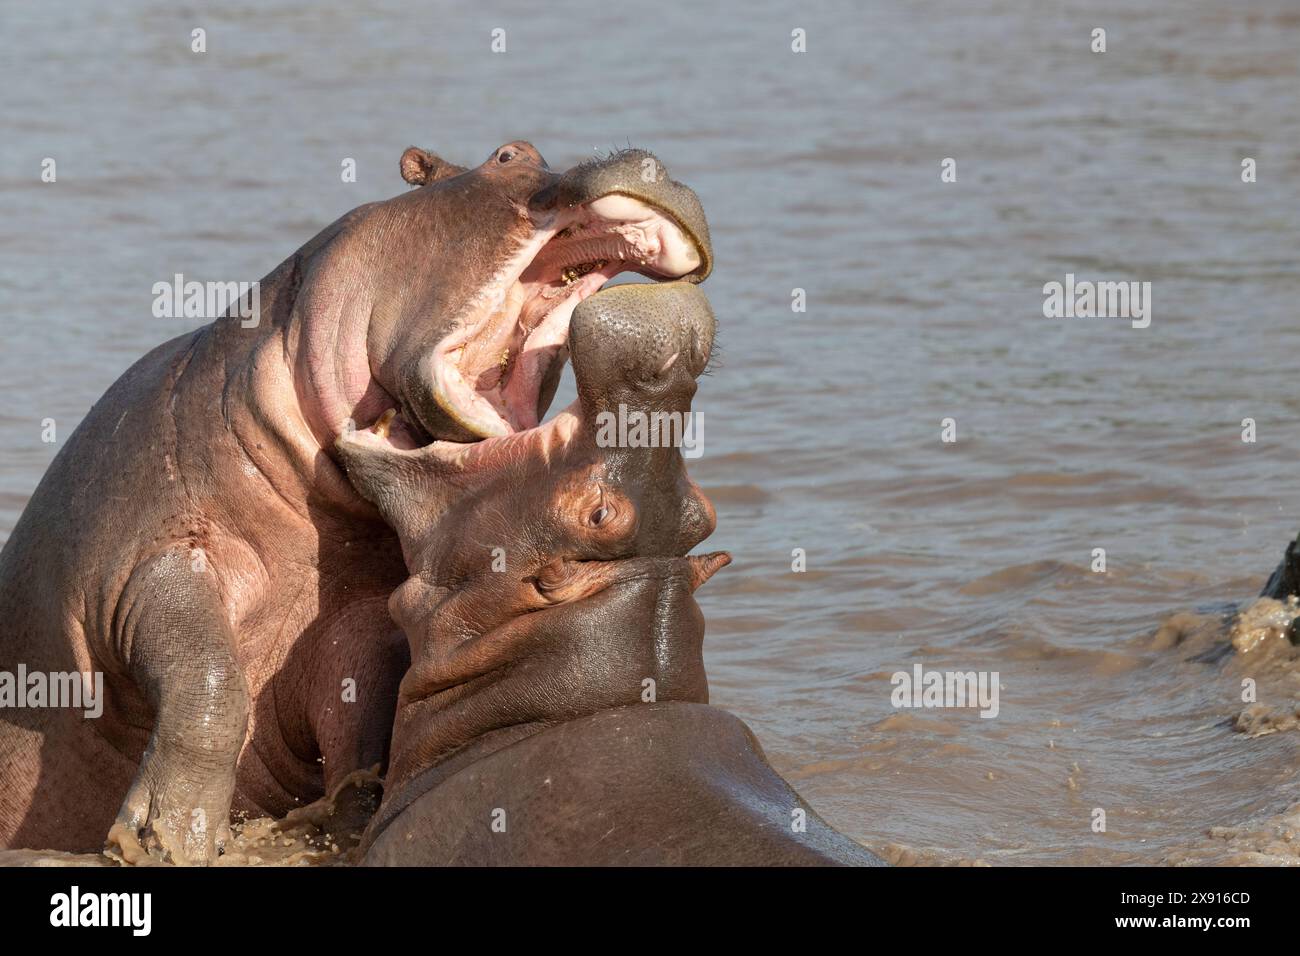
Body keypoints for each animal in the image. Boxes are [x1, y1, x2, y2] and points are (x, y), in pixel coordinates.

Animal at [0, 141, 712, 863]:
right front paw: (162, 838)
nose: (650, 161)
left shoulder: (357, 622)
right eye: (510, 154)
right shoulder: (147, 565)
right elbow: (210, 683)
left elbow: (362, 715)